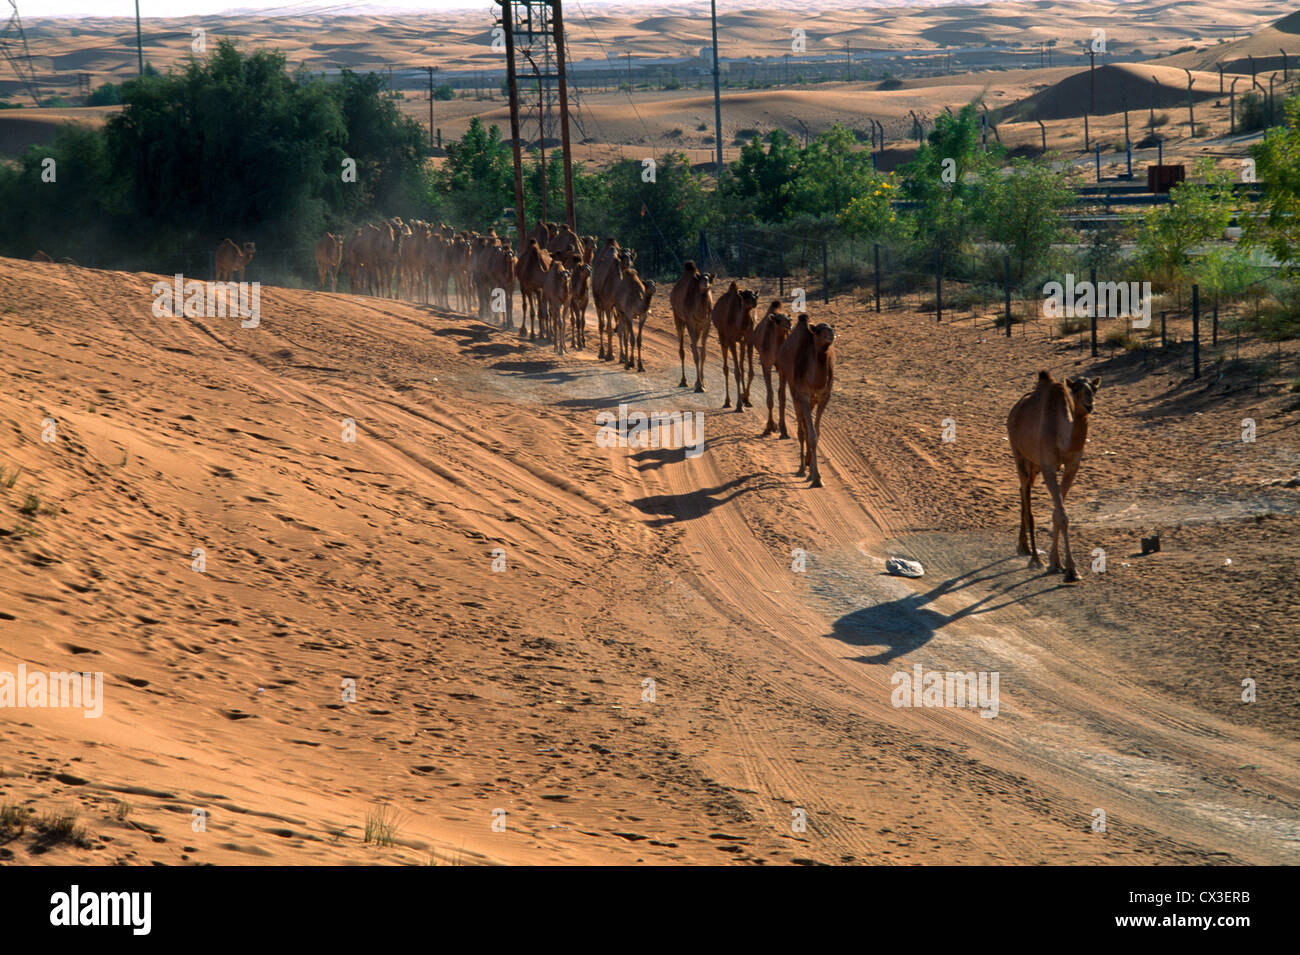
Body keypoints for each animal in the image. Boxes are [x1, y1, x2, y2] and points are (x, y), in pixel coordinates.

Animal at [669, 261, 714, 391]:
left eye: (710, 278)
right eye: (701, 278)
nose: (705, 282)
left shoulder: (707, 324)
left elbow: (703, 354)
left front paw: (703, 383)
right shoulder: (690, 322)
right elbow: (696, 355)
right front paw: (699, 385)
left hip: (697, 327)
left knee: (692, 346)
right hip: (678, 317)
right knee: (682, 350)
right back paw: (683, 381)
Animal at [710, 281, 759, 411]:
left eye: (754, 294)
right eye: (746, 295)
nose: (755, 300)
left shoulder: (749, 339)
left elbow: (750, 372)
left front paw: (746, 398)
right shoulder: (731, 340)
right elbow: (736, 373)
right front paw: (739, 405)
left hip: (741, 342)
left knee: (742, 366)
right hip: (722, 335)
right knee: (726, 368)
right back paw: (727, 402)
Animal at [746, 300, 793, 436]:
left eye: (788, 317)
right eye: (778, 319)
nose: (789, 322)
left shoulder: (783, 367)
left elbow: (782, 396)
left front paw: (783, 429)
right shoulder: (766, 363)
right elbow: (770, 395)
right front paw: (770, 426)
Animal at [775, 312, 835, 488]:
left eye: (831, 327)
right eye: (819, 330)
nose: (831, 333)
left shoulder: (824, 397)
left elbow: (816, 433)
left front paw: (813, 472)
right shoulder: (803, 396)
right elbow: (811, 435)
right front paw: (816, 478)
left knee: (807, 428)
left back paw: (807, 465)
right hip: (792, 387)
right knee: (802, 429)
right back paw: (802, 468)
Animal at [1007, 370, 1101, 583]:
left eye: (1094, 388)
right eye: (1076, 388)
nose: (1089, 405)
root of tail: (1015, 409)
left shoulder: (1072, 466)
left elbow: (1058, 514)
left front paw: (1057, 563)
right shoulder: (1048, 466)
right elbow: (1062, 515)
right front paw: (1070, 570)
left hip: (1033, 464)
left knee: (1022, 490)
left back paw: (1023, 547)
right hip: (1018, 452)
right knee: (1026, 497)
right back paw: (1034, 558)